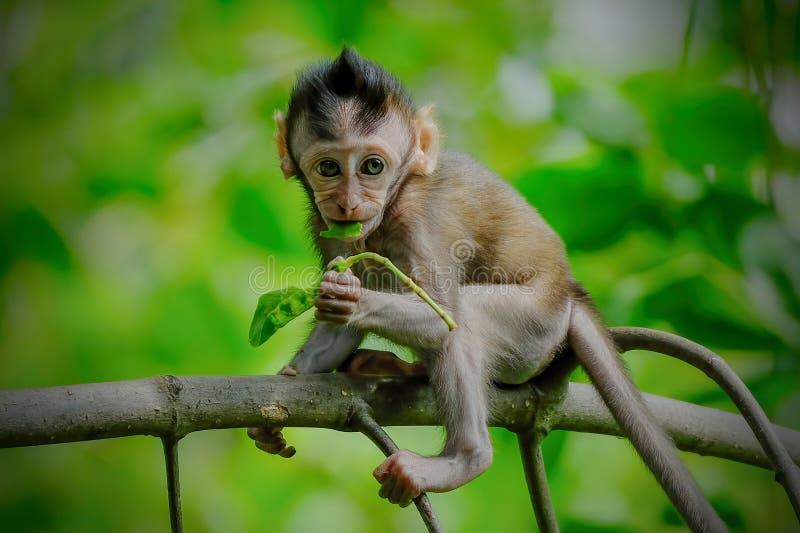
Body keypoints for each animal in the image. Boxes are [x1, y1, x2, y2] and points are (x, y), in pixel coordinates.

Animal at [247, 47, 727, 532]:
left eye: (372, 166)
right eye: (329, 168)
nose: (347, 203)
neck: (393, 202)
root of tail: (571, 296)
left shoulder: (421, 221)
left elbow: (442, 319)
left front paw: (353, 299)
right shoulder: (328, 229)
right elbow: (337, 331)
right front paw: (287, 384)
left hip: (535, 327)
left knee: (468, 321)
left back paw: (464, 458)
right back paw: (404, 370)